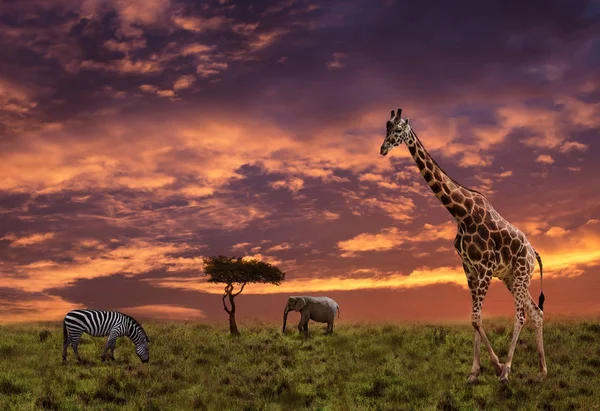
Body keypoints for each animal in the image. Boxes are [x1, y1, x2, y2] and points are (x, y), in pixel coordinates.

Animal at [382, 108, 548, 384]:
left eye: (398, 130)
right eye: (385, 128)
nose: (383, 148)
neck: (461, 214)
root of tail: (534, 252)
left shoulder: (484, 268)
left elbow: (476, 318)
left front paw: (496, 365)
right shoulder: (469, 269)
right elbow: (474, 319)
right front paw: (474, 372)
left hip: (522, 274)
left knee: (522, 315)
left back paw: (507, 370)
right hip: (512, 278)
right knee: (536, 312)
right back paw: (543, 370)